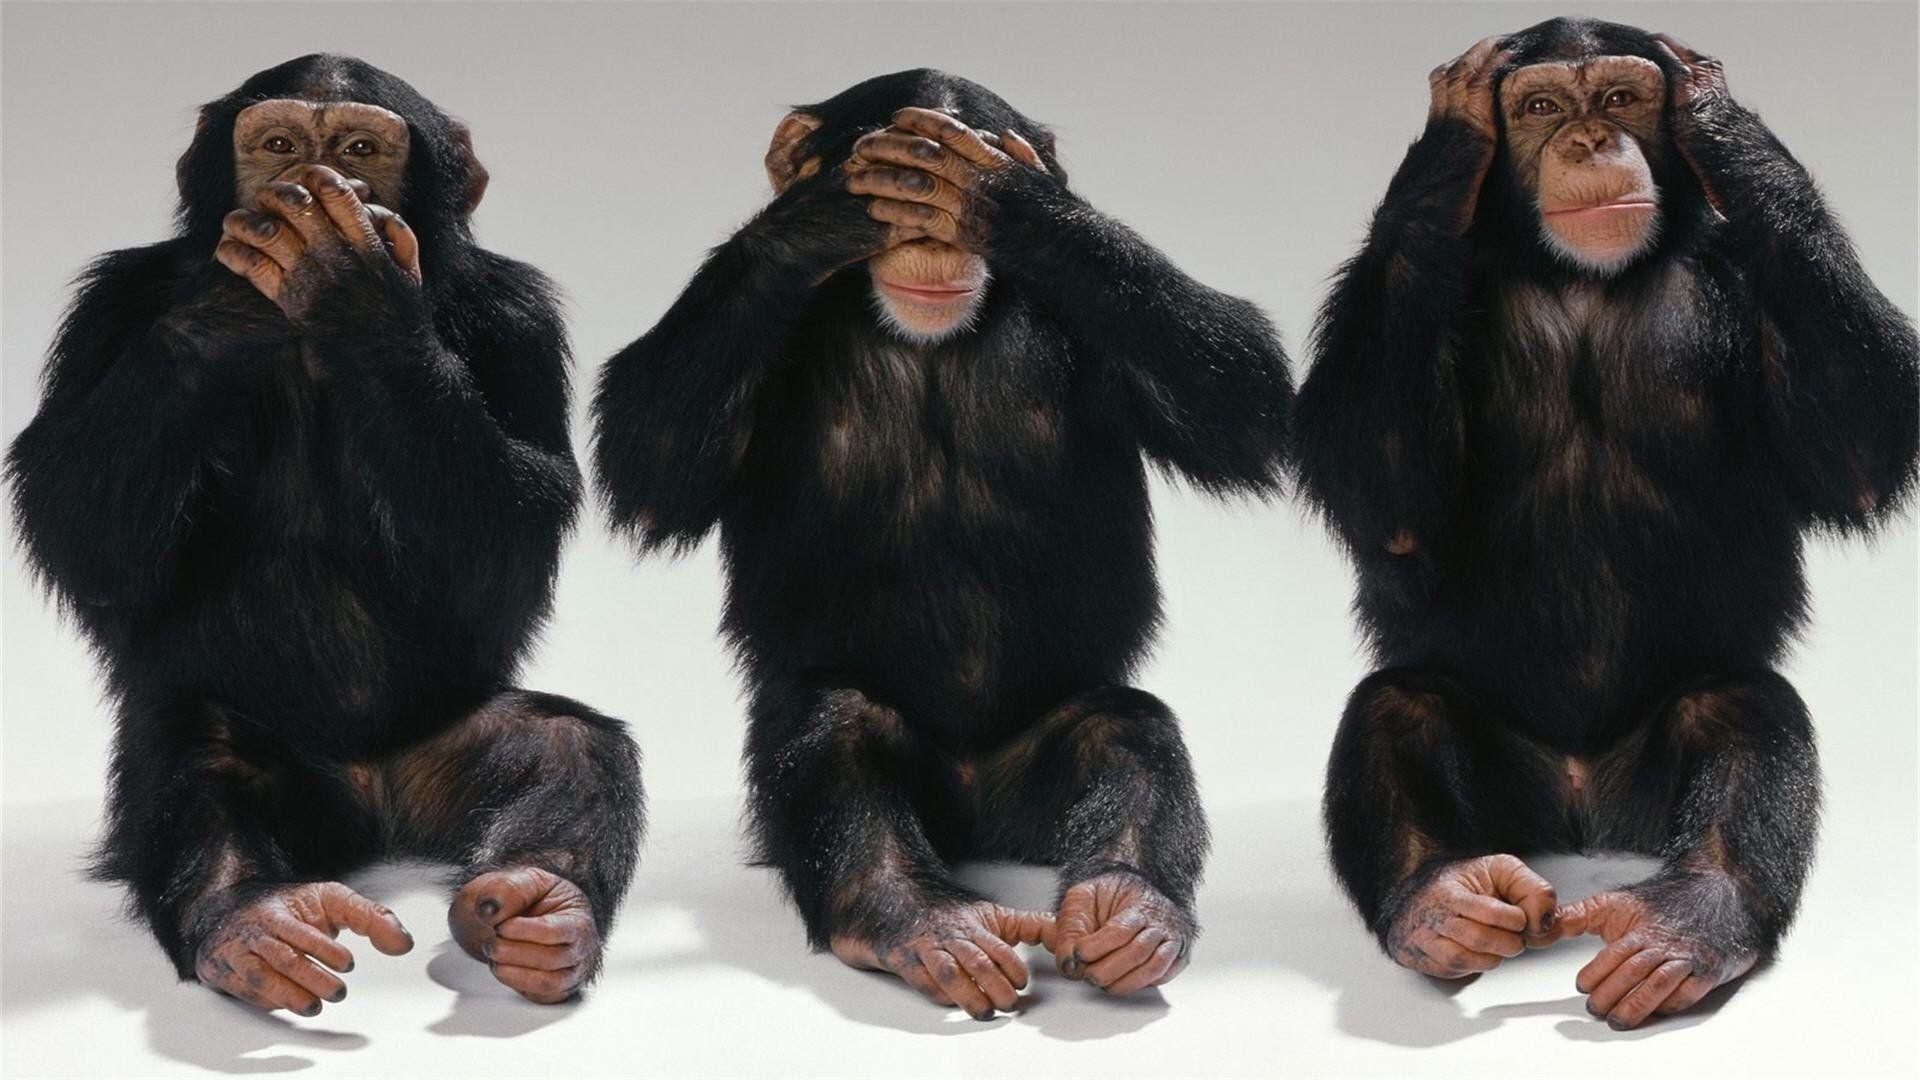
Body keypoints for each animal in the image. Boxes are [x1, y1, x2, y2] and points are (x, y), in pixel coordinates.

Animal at [5, 55, 644, 1014]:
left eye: (358, 149)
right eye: (276, 143)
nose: (307, 181)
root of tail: (374, 809)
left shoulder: (519, 320)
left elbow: (516, 536)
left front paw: (357, 294)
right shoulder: (108, 305)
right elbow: (74, 519)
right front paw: (231, 299)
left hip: (438, 750)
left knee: (571, 748)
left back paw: (540, 904)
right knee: (196, 766)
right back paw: (252, 921)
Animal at [592, 70, 1291, 1018]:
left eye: (949, 211)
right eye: (899, 208)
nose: (929, 233)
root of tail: (973, 813)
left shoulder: (1122, 341)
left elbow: (1239, 396)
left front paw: (1013, 201)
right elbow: (648, 454)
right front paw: (825, 205)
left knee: (1127, 730)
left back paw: (1127, 908)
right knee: (835, 728)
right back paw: (916, 917)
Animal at [1294, 18, 1917, 1029]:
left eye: (1622, 97)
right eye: (1542, 105)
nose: (1589, 140)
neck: (1583, 281)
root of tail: (1585, 810)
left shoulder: (1752, 284)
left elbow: (1856, 460)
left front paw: (1720, 121)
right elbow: (1386, 502)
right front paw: (1449, 142)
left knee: (1746, 709)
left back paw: (1692, 920)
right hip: (1507, 789)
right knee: (1397, 707)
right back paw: (1439, 899)